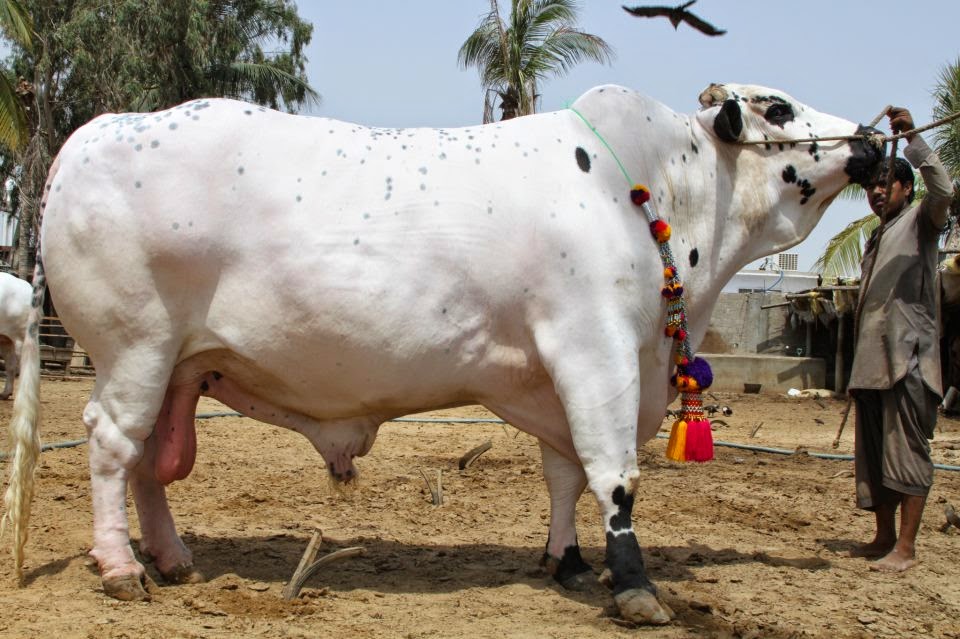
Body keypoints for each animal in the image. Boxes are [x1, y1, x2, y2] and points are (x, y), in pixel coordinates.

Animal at [3, 83, 882, 624]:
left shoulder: (553, 377)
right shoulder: (594, 348)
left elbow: (563, 472)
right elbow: (614, 474)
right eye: (777, 105)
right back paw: (120, 568)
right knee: (113, 446)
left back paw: (173, 557)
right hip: (133, 348)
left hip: (175, 366)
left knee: (151, 461)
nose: (879, 140)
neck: (651, 191)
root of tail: (95, 132)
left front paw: (566, 560)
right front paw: (634, 585)